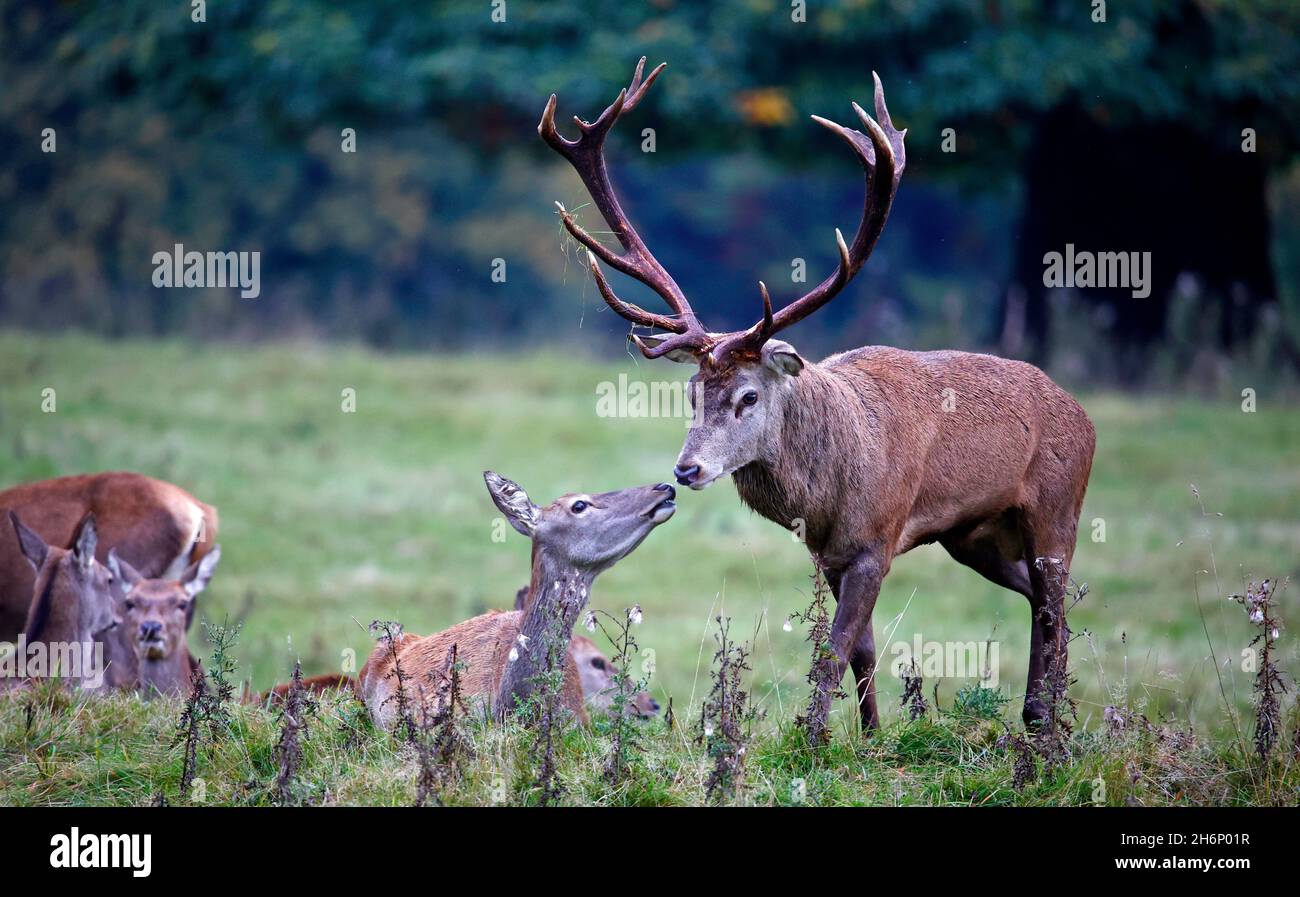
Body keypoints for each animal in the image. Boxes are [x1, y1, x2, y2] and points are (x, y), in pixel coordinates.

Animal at [540, 59, 1096, 733]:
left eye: (748, 397)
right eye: (691, 393)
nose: (686, 469)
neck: (829, 491)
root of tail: (1082, 414)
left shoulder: (877, 540)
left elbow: (832, 653)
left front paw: (813, 738)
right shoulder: (829, 554)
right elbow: (861, 651)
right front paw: (870, 736)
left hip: (1057, 509)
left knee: (1053, 603)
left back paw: (1045, 723)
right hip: (976, 537)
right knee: (1043, 603)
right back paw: (1044, 716)